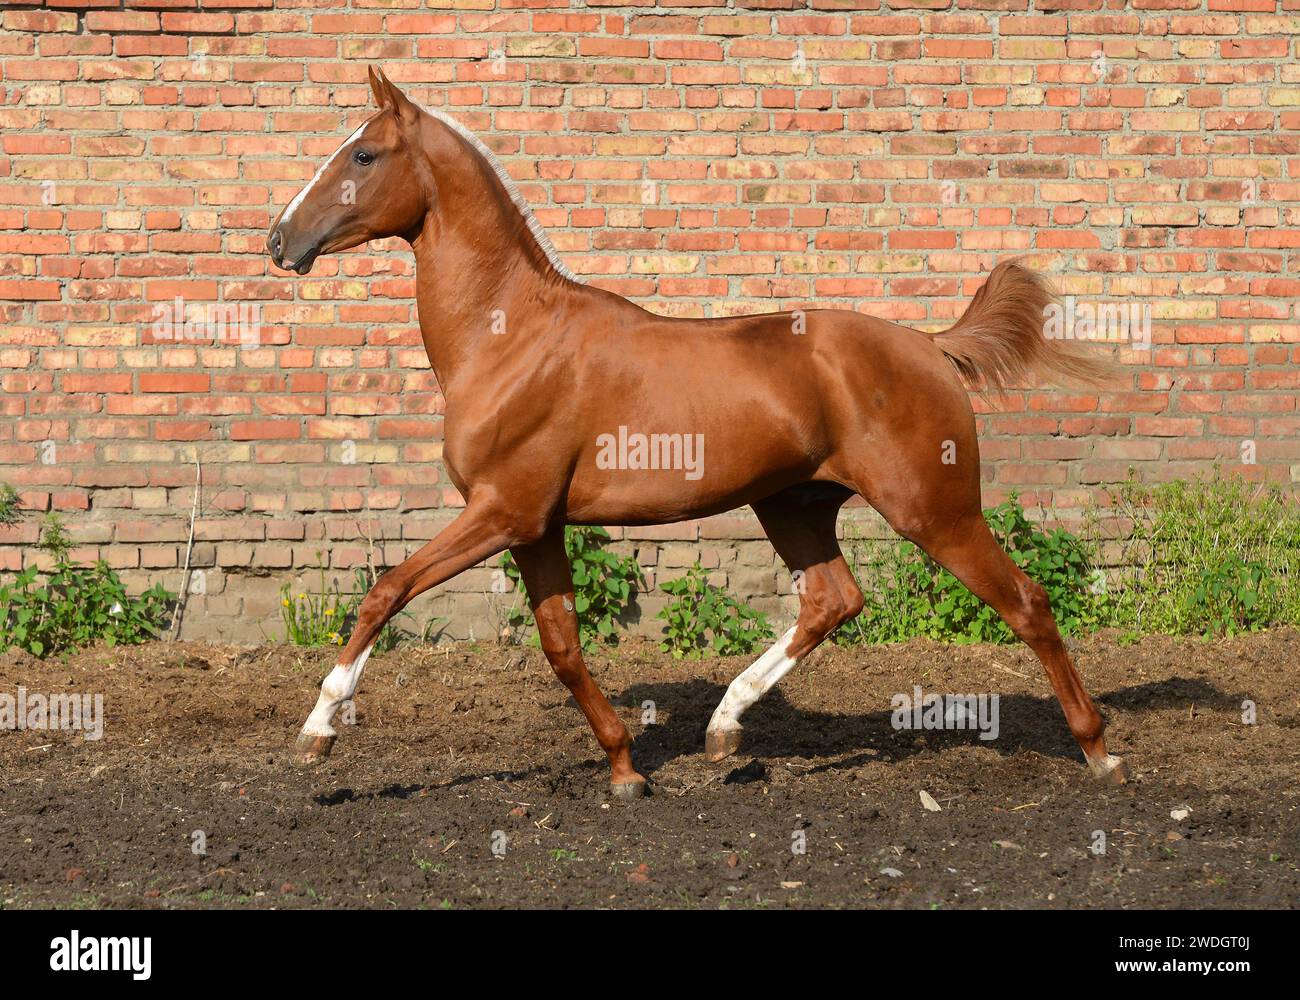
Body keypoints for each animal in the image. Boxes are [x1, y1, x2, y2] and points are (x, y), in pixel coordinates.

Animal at [267, 66, 1128, 800]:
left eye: (364, 153)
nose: (279, 240)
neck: (511, 339)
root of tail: (930, 344)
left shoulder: (501, 510)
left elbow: (385, 590)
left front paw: (316, 733)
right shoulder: (536, 525)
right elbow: (562, 647)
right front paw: (625, 769)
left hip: (934, 510)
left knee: (1026, 602)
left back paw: (1099, 750)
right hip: (794, 505)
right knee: (833, 600)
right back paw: (724, 729)